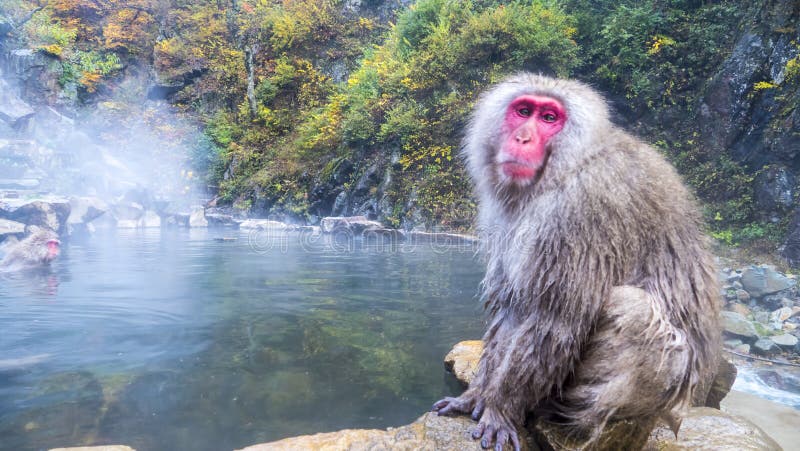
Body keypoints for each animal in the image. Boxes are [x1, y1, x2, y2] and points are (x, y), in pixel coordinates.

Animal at [432, 74, 720, 451]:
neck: (564, 167)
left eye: (548, 118)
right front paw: (476, 396)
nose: (522, 137)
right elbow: (515, 308)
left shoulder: (581, 209)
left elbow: (556, 320)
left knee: (631, 308)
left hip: (663, 391)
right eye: (523, 111)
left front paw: (500, 407)